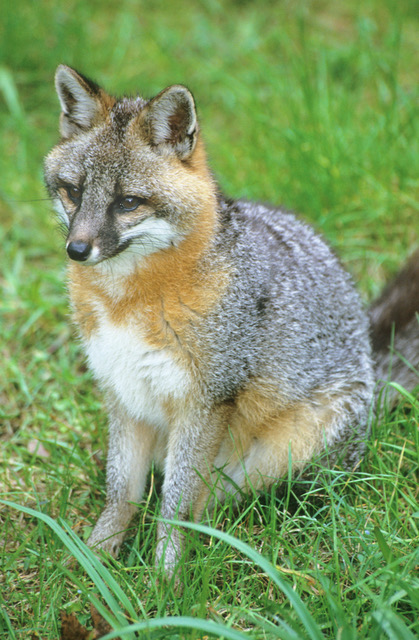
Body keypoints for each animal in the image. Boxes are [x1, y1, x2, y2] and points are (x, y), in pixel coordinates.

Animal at [44, 65, 419, 578]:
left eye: (128, 203)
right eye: (74, 192)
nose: (77, 250)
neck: (127, 302)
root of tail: (370, 365)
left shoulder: (206, 401)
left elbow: (175, 505)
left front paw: (162, 582)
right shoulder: (124, 391)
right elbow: (121, 494)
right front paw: (96, 564)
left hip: (278, 457)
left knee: (213, 506)